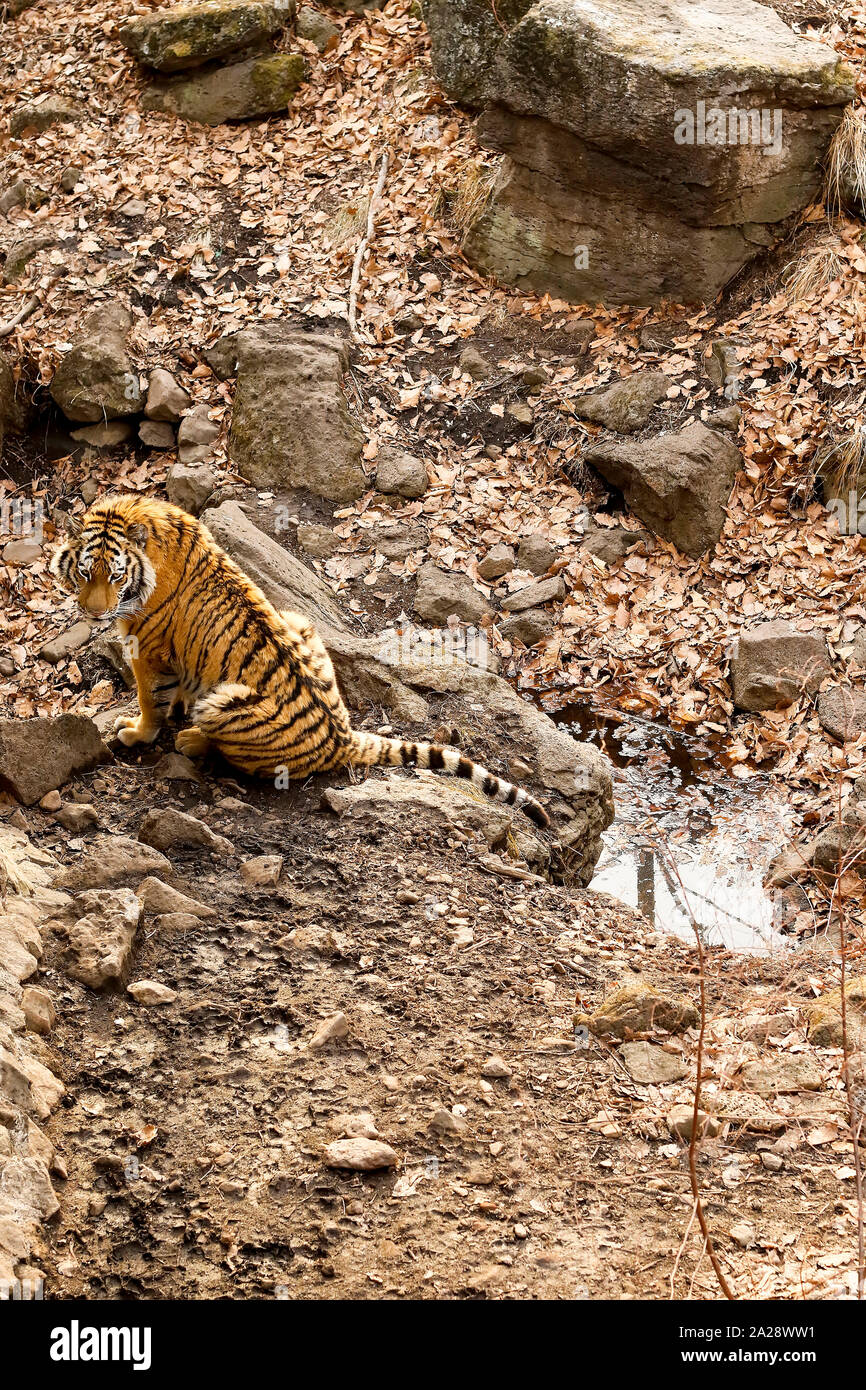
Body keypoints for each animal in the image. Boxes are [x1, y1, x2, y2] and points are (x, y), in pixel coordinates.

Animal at [50, 495, 550, 828]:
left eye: (116, 576)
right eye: (85, 572)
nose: (93, 613)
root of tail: (344, 740)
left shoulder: (146, 646)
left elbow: (149, 700)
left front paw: (137, 732)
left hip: (224, 701)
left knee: (243, 762)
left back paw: (192, 741)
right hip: (297, 619)